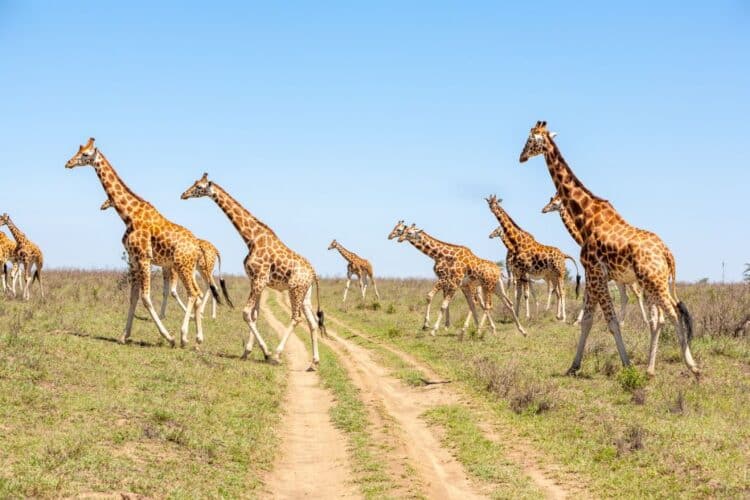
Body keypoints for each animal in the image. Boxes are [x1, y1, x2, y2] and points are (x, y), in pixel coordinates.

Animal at [66, 138, 208, 348]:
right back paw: (198, 338)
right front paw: (124, 335)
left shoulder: (144, 258)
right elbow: (132, 298)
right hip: (186, 267)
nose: (68, 163)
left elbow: (145, 298)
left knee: (193, 293)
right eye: (78, 150)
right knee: (197, 294)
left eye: (85, 154)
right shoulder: (133, 261)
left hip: (182, 266)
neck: (128, 216)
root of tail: (197, 246)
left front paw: (169, 337)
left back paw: (183, 337)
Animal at [100, 198, 231, 320]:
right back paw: (209, 314)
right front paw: (162, 315)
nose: (103, 206)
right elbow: (166, 291)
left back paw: (206, 313)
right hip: (202, 269)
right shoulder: (166, 267)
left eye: (108, 199)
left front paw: (189, 315)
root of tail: (216, 250)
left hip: (202, 268)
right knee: (211, 286)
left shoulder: (171, 267)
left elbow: (173, 291)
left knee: (210, 286)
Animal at [181, 173, 326, 371]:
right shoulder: (256, 281)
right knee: (312, 323)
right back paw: (314, 362)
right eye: (195, 183)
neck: (251, 239)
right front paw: (248, 352)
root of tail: (313, 274)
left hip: (295, 289)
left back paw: (278, 354)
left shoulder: (259, 279)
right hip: (305, 293)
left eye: (199, 187)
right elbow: (254, 314)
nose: (184, 194)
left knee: (296, 318)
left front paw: (266, 353)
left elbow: (245, 313)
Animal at [541, 193, 652, 326]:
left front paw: (578, 321)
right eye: (550, 201)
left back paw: (644, 321)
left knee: (637, 294)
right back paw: (623, 322)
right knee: (627, 296)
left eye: (554, 203)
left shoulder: (590, 271)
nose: (543, 210)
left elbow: (586, 295)